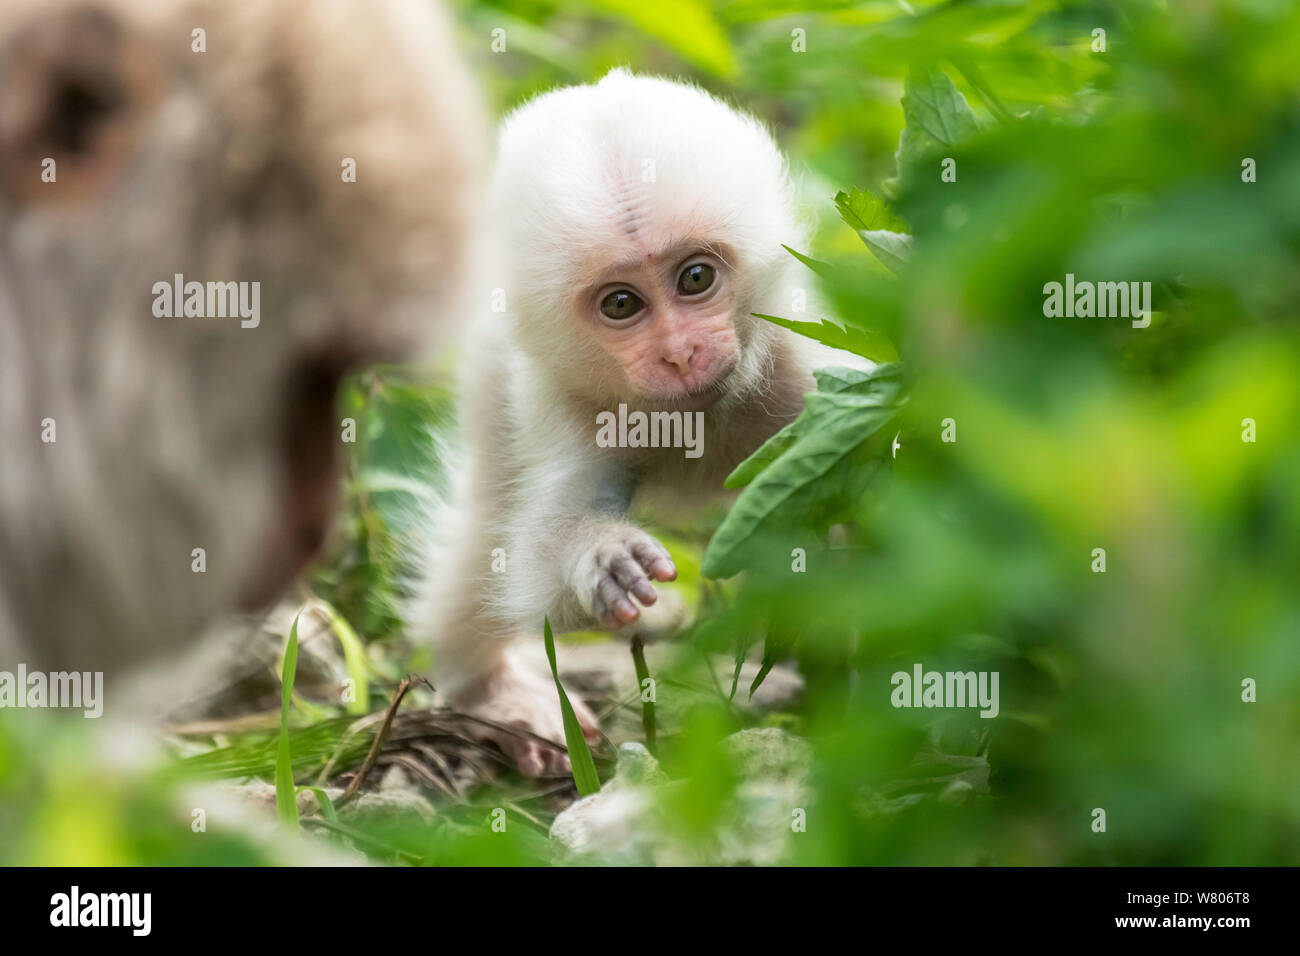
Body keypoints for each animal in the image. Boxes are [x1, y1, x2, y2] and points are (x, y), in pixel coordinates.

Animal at [408, 70, 869, 776]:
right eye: (622, 305)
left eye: (696, 278)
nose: (679, 353)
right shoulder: (561, 401)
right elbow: (540, 566)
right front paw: (606, 557)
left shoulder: (807, 367)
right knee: (486, 518)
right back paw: (493, 689)